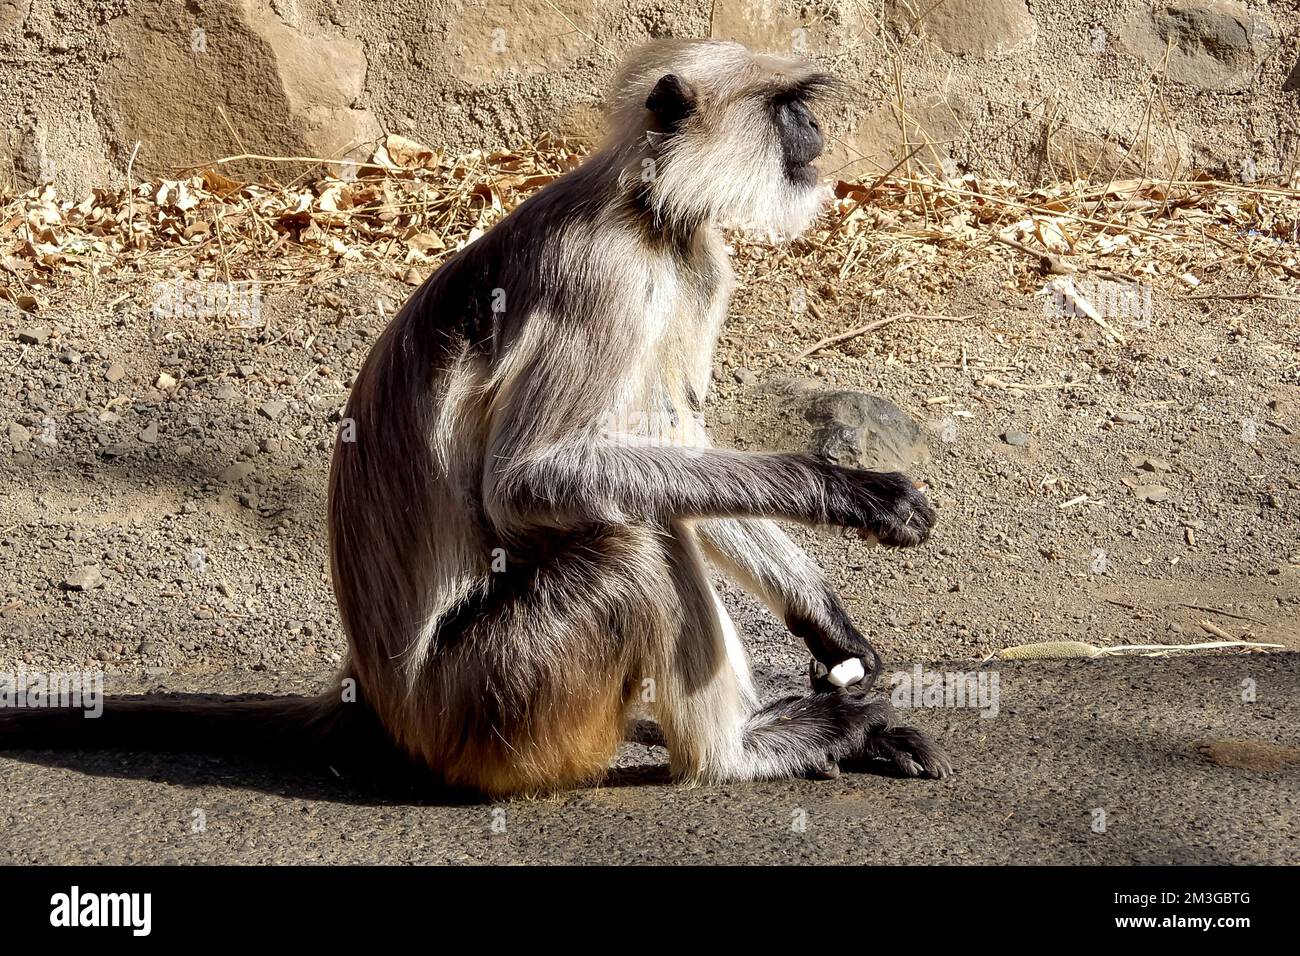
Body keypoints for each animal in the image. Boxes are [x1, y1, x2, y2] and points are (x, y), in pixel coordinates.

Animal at [0, 39, 950, 796]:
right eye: (788, 108)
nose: (815, 132)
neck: (647, 213)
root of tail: (376, 696)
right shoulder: (603, 275)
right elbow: (528, 479)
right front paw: (847, 489)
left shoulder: (694, 266)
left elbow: (677, 445)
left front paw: (826, 618)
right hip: (488, 698)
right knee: (635, 547)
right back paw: (737, 756)